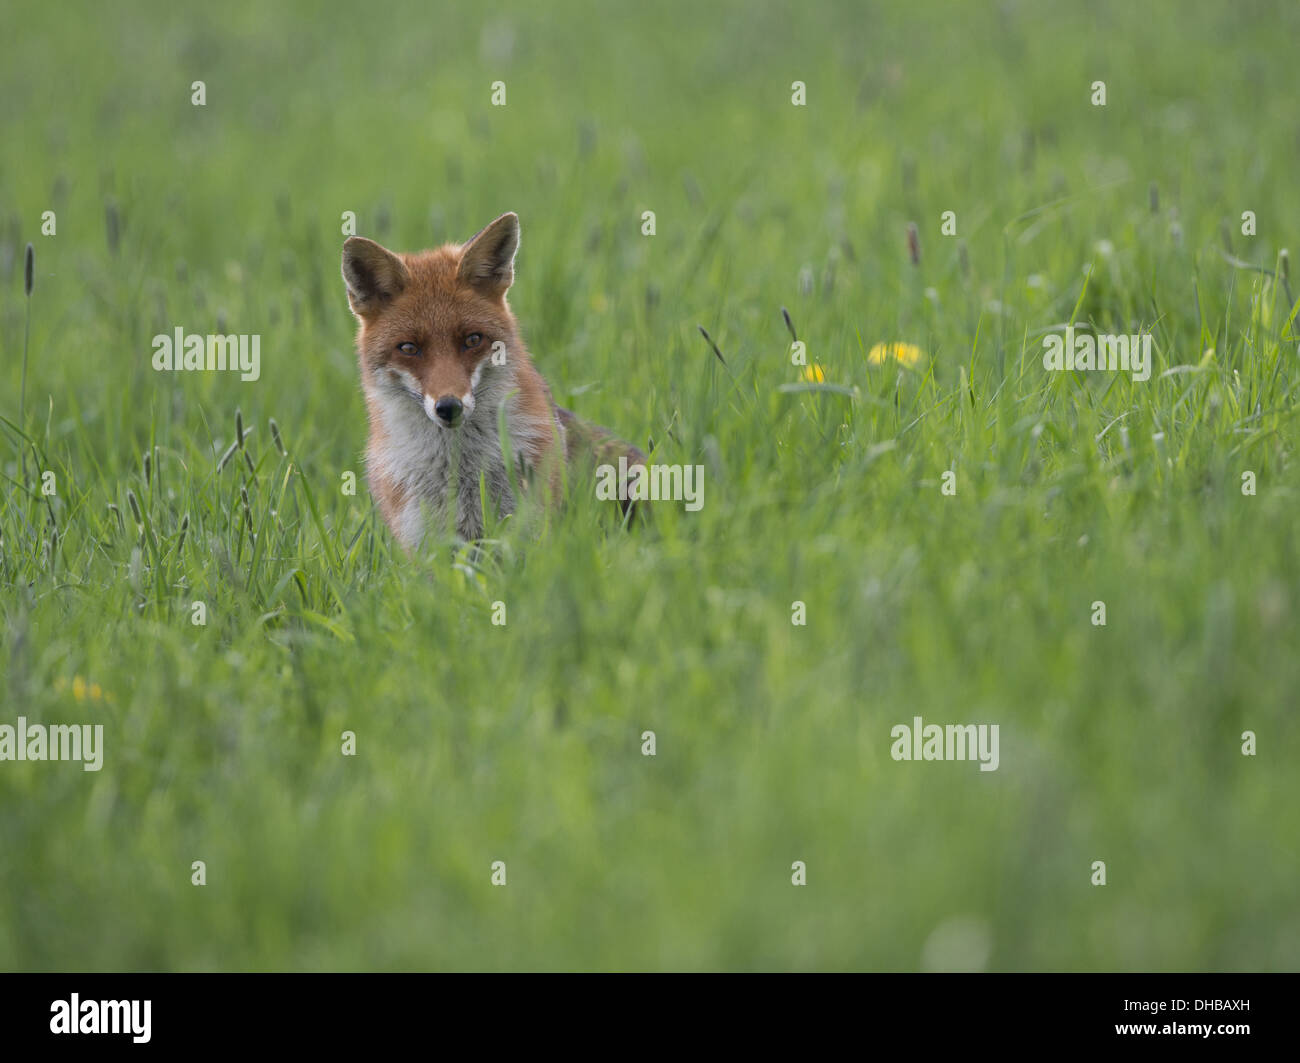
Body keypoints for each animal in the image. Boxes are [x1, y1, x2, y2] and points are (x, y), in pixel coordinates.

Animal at [341, 212, 645, 548]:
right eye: (408, 348)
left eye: (473, 340)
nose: (449, 407)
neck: (462, 473)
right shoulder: (422, 543)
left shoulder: (529, 529)